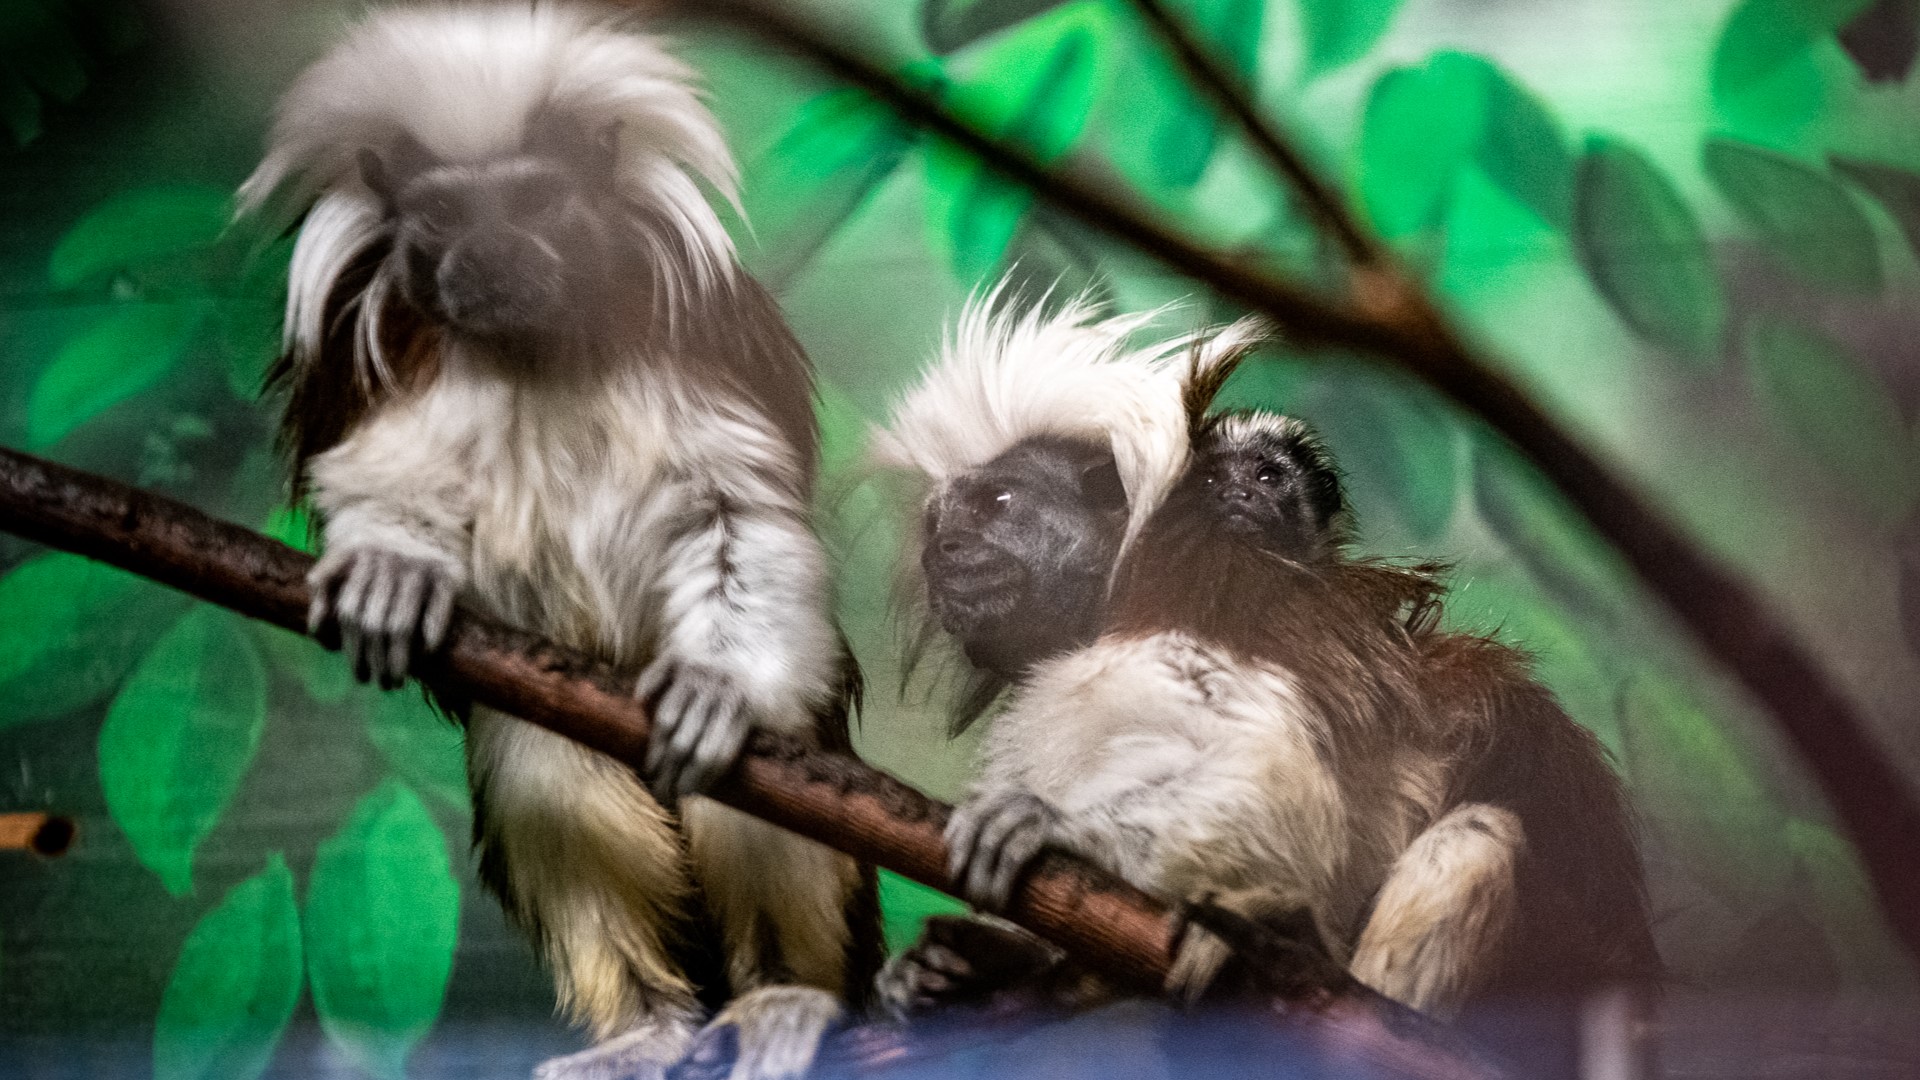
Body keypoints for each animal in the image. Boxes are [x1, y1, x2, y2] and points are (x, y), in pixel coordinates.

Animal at [236, 7, 880, 1078]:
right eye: (444, 217)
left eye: (536, 200)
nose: (492, 258)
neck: (534, 343)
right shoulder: (392, 345)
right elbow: (387, 475)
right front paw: (392, 570)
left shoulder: (694, 336)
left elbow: (736, 516)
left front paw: (719, 687)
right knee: (543, 764)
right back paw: (649, 1027)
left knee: (766, 775)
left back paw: (789, 1001)